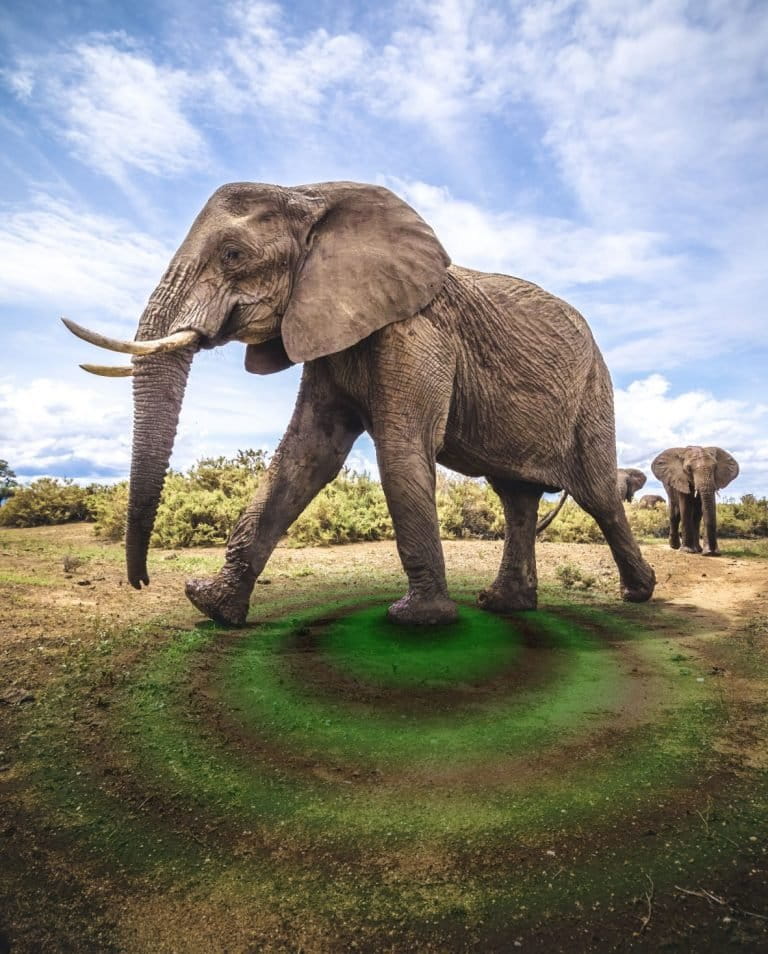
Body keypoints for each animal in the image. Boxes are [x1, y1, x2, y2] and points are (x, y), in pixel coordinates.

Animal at [64, 180, 655, 625]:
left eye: (233, 255)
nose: (141, 581)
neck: (311, 197)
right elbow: (305, 456)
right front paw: (212, 605)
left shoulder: (416, 330)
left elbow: (400, 448)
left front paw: (418, 619)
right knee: (515, 498)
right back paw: (504, 605)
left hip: (593, 391)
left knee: (597, 495)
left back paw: (638, 594)